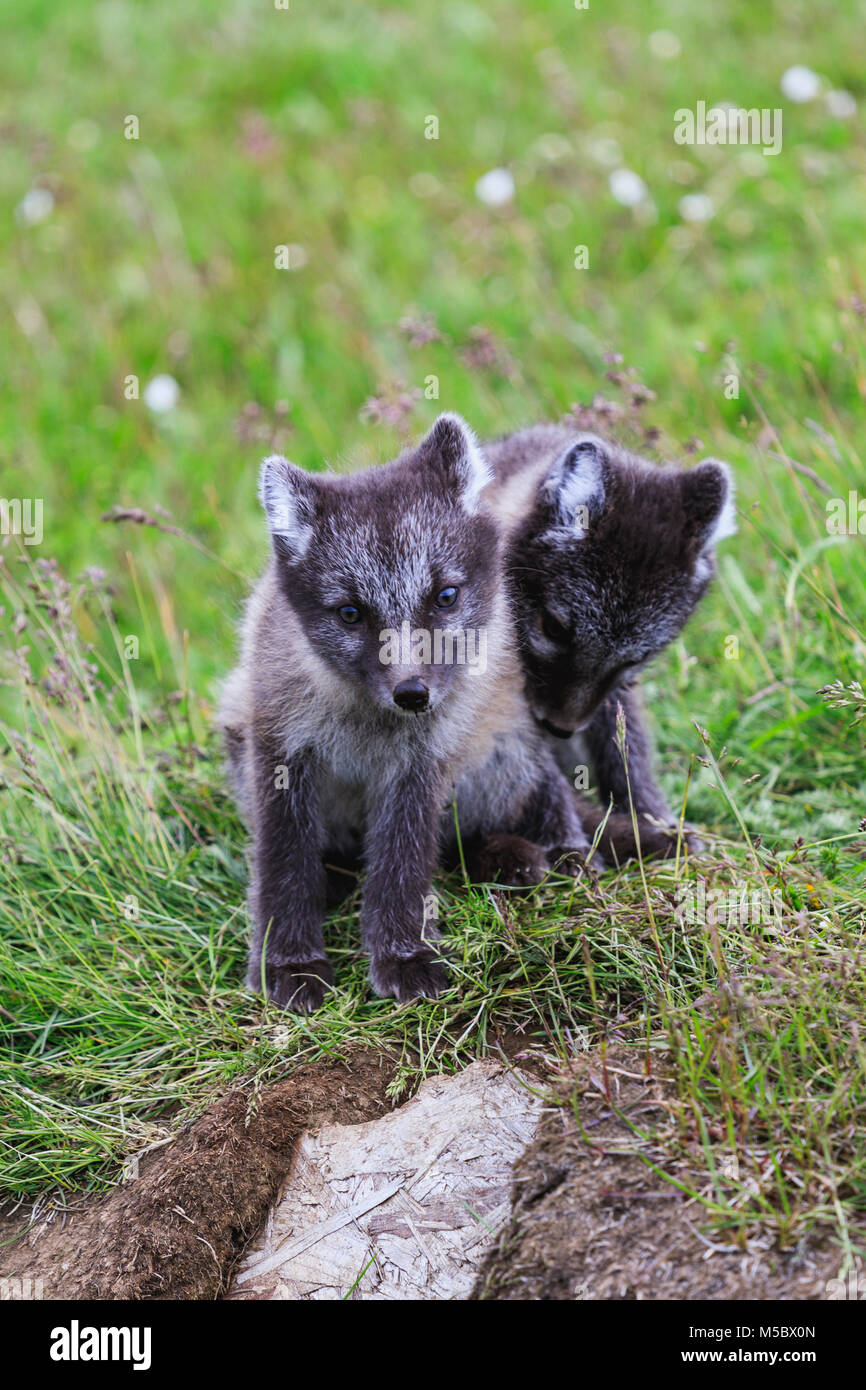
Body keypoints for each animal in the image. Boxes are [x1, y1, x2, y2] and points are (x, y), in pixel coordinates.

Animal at [218, 414, 591, 1012]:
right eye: (350, 613)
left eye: (446, 596)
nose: (412, 694)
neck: (365, 722)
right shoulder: (279, 748)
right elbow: (282, 865)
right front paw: (288, 965)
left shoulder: (422, 763)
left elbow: (403, 863)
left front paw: (404, 956)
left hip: (504, 750)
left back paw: (518, 856)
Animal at [480, 424, 737, 862]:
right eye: (554, 628)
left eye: (637, 657)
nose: (560, 729)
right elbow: (541, 779)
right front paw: (566, 843)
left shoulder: (615, 694)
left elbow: (628, 752)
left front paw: (651, 818)